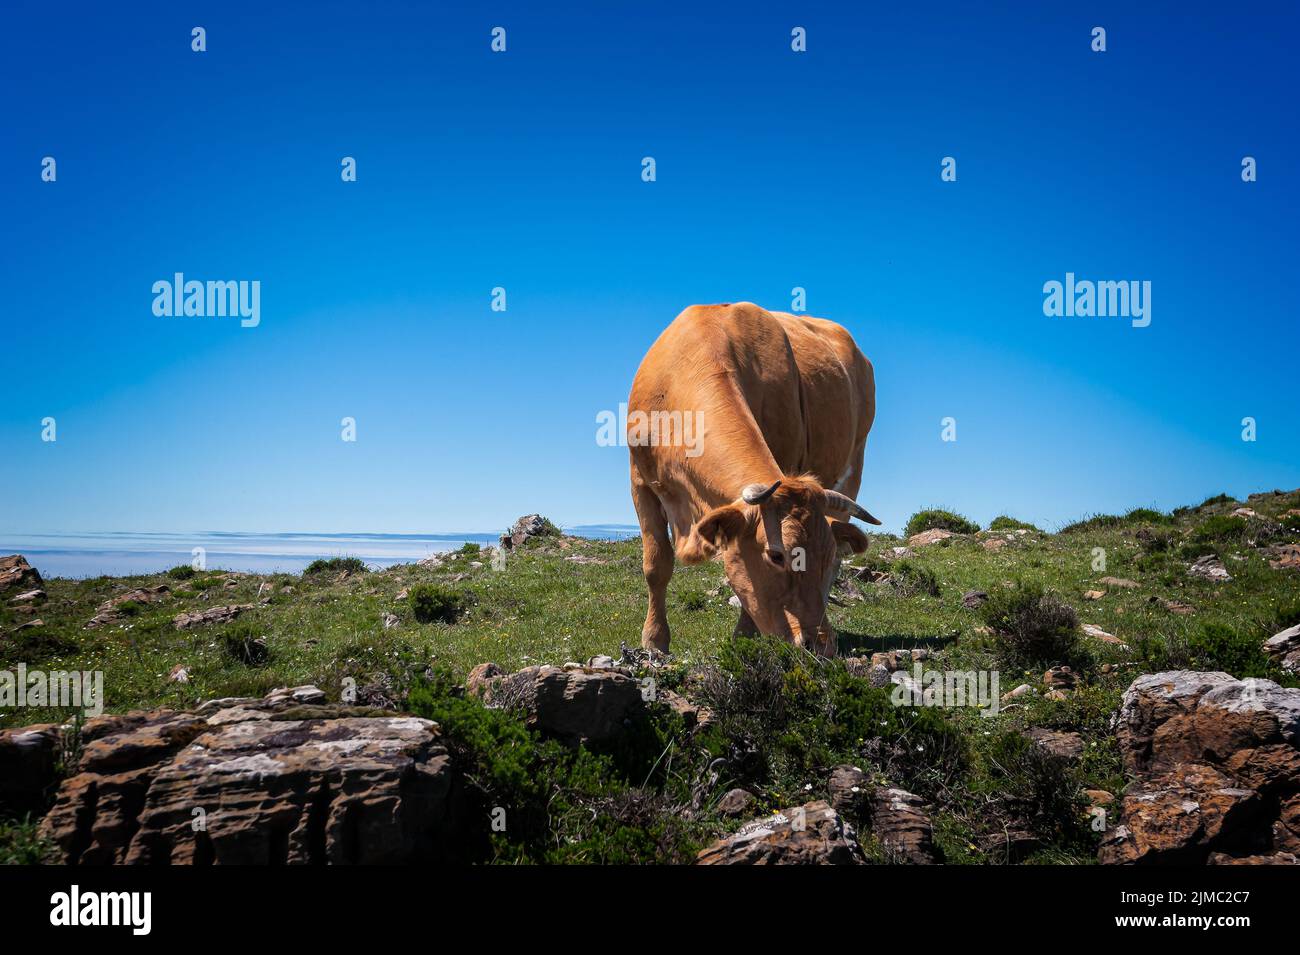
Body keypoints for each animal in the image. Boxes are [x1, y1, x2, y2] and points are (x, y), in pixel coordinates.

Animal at [627, 301, 880, 657]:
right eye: (776, 555)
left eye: (826, 554)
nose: (819, 645)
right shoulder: (640, 483)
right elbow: (656, 564)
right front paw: (654, 640)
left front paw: (744, 639)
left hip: (854, 466)